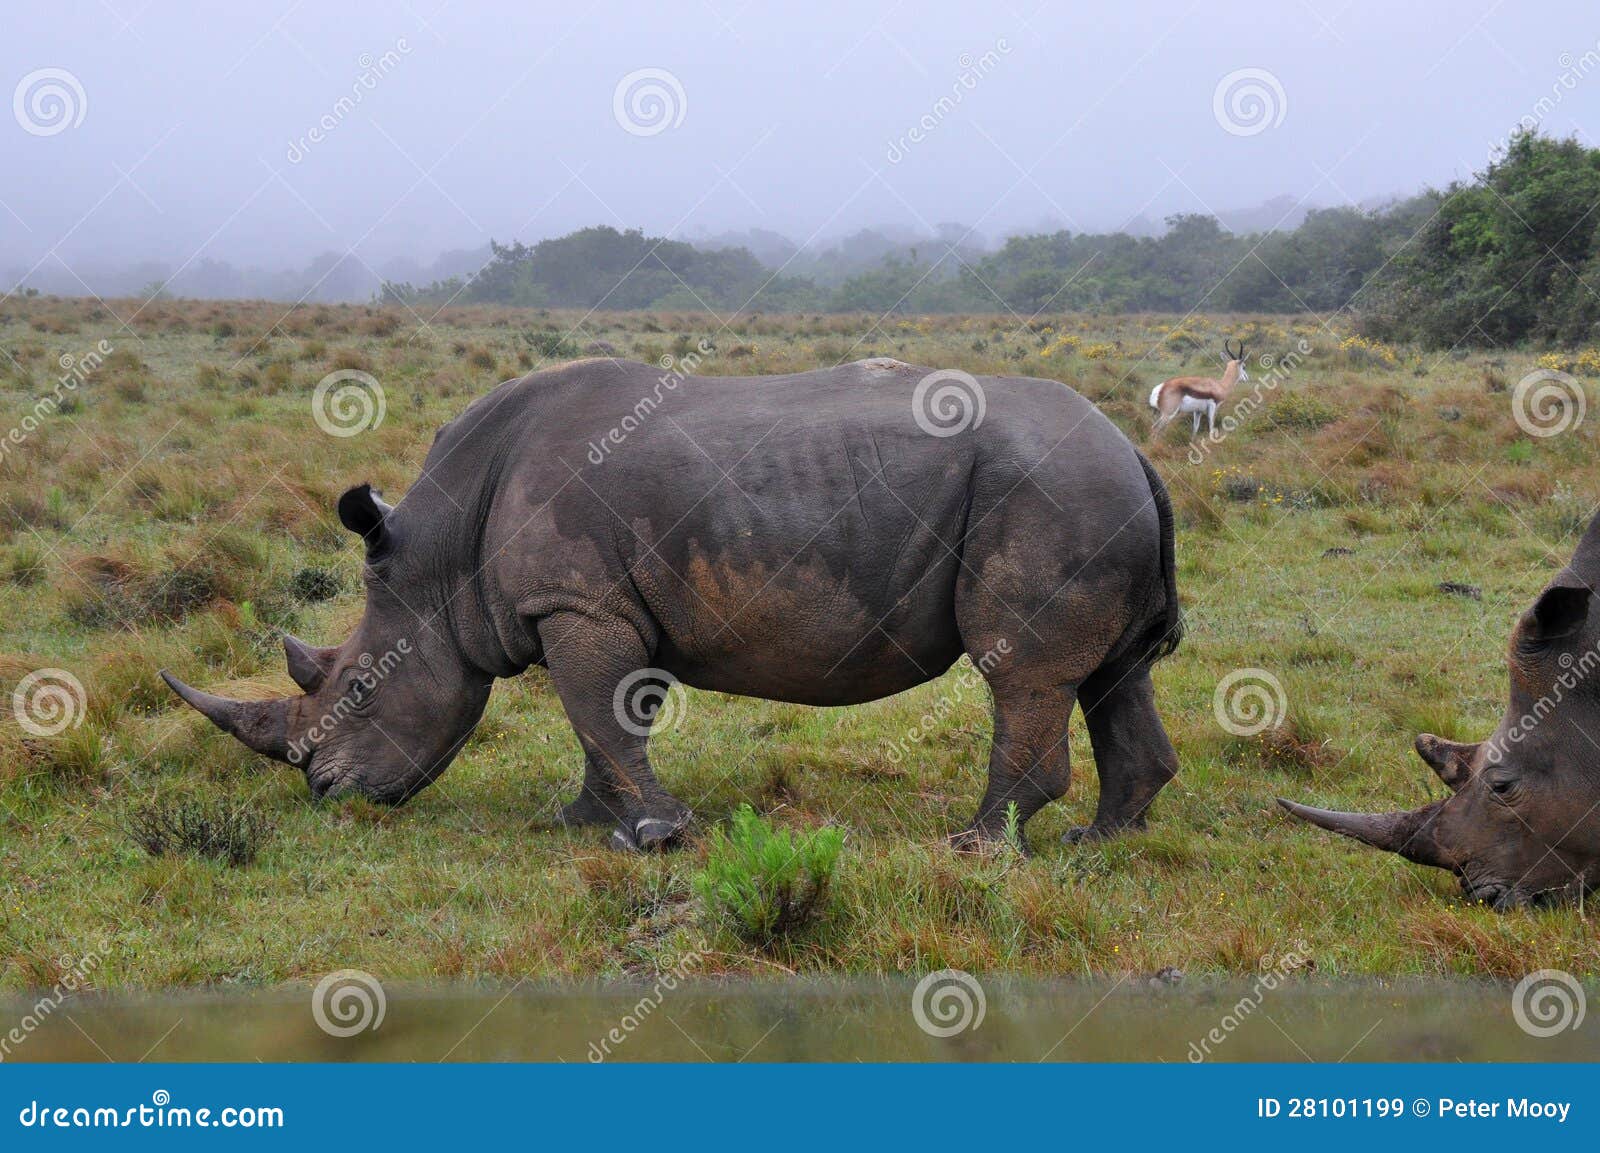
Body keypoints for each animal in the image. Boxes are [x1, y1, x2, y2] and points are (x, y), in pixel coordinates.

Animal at [163, 357, 1183, 852]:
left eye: (359, 691)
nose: (324, 793)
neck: (438, 557)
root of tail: (1135, 448)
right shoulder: (601, 605)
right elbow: (607, 721)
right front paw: (583, 824)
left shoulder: (577, 603)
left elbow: (600, 715)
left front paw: (656, 836)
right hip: (1087, 489)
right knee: (1116, 674)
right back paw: (1102, 840)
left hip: (1053, 489)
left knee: (1023, 672)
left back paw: (977, 846)